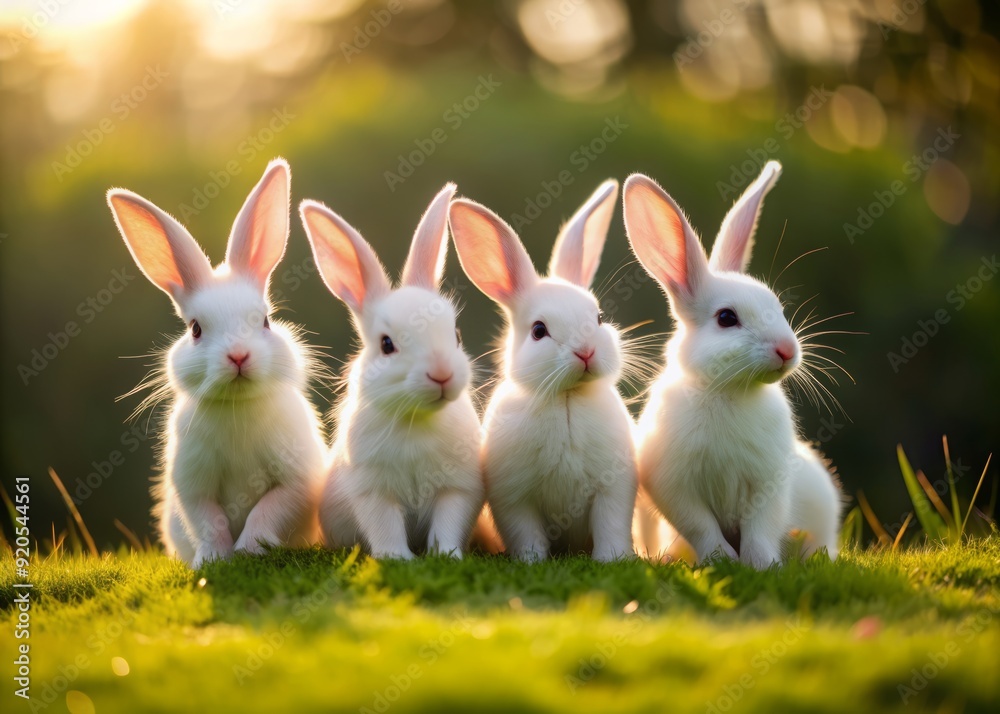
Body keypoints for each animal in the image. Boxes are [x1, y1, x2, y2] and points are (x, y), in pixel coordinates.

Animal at [107, 158, 328, 567]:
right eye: (195, 329)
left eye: (265, 320)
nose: (238, 355)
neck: (237, 406)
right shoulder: (193, 485)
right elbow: (210, 521)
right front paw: (212, 560)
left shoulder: (297, 479)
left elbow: (267, 510)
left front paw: (250, 550)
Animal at [299, 184, 483, 560]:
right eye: (386, 344)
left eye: (455, 335)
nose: (441, 374)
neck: (416, 420)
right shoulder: (373, 492)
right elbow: (386, 528)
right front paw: (398, 559)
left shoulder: (457, 488)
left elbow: (448, 525)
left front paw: (447, 557)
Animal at [448, 180, 638, 562]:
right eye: (538, 330)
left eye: (599, 317)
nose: (586, 352)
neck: (565, 399)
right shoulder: (514, 499)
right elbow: (527, 535)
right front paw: (531, 561)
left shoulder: (614, 489)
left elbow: (611, 527)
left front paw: (612, 559)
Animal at [622, 161, 842, 569]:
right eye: (726, 318)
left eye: (778, 307)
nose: (787, 349)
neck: (727, 391)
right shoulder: (677, 489)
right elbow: (702, 528)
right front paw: (721, 561)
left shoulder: (768, 483)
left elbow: (760, 530)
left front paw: (763, 565)